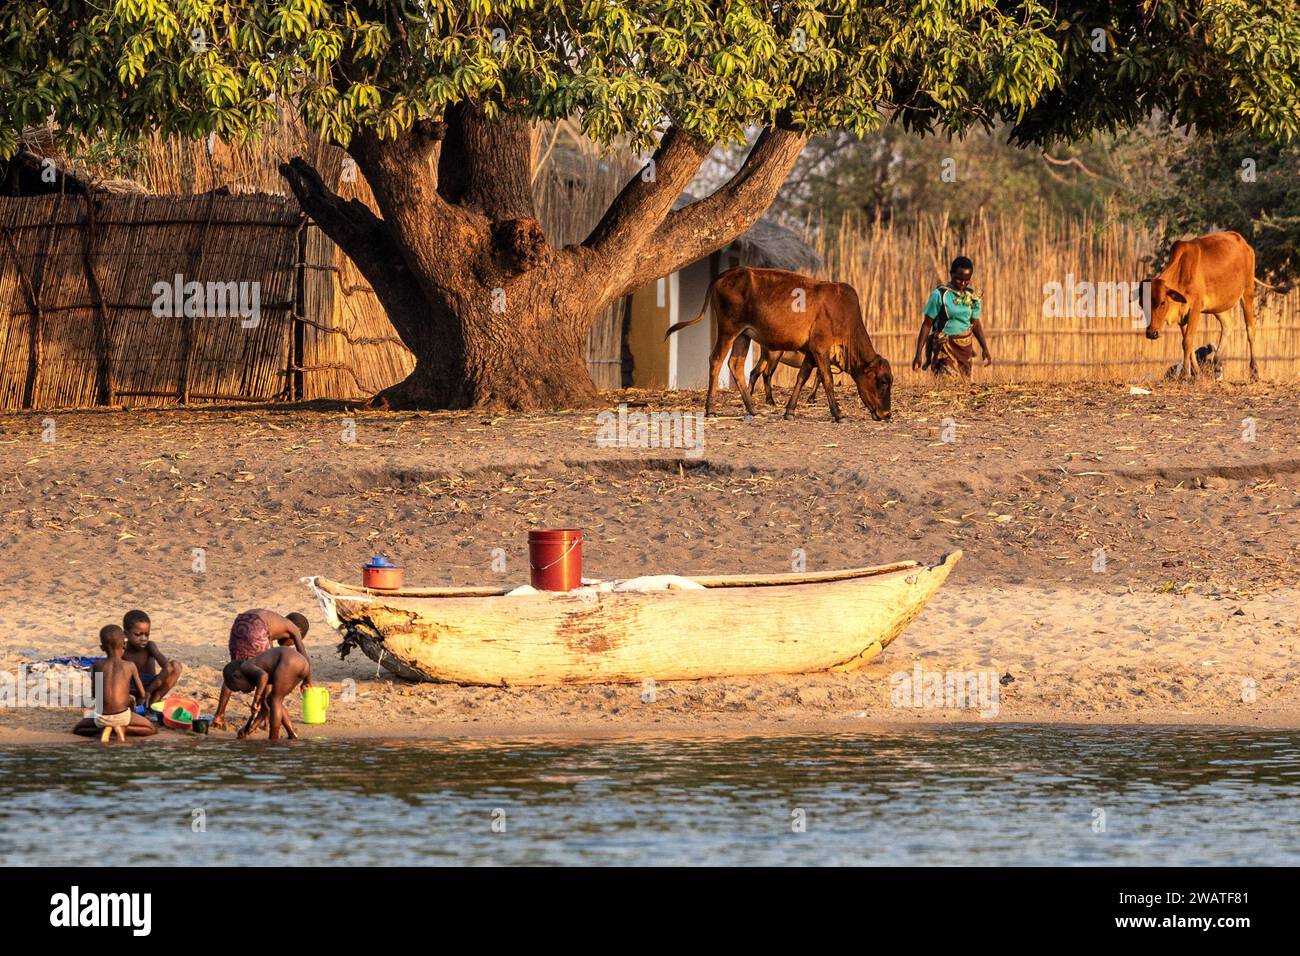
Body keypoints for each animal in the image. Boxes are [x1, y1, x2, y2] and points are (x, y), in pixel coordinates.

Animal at [664, 267, 891, 422]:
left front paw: (789, 411)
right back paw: (711, 409)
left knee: (736, 365)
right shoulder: (820, 348)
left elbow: (802, 377)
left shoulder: (811, 352)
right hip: (729, 329)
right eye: (882, 382)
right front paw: (837, 413)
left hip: (744, 335)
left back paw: (752, 409)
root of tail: (726, 274)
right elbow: (827, 379)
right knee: (717, 360)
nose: (887, 413)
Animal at [1144, 231, 1261, 380]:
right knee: (1228, 325)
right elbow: (1189, 342)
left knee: (1250, 329)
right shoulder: (1182, 316)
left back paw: (1254, 371)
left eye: (1162, 302)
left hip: (1247, 292)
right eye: (1142, 303)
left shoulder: (1195, 308)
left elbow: (1187, 341)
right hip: (1218, 305)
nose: (1151, 333)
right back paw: (1217, 365)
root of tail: (1243, 242)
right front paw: (1196, 374)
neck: (1181, 271)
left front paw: (1185, 375)